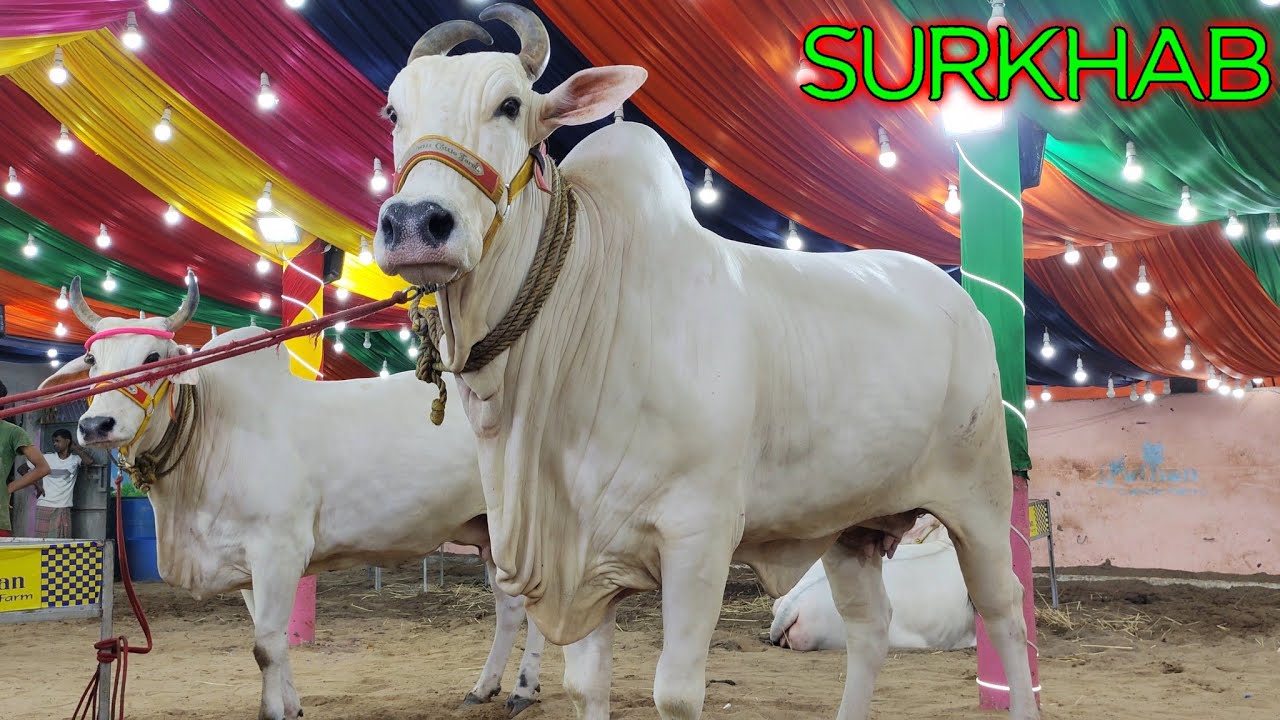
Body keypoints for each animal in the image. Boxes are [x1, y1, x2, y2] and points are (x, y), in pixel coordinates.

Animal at [40, 276, 545, 720]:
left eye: (155, 357)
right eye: (91, 359)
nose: (96, 425)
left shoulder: (278, 552)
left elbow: (265, 646)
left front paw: (272, 711)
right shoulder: (244, 564)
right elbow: (276, 640)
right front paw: (293, 706)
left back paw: (522, 689)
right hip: (489, 533)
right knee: (511, 607)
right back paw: (487, 688)